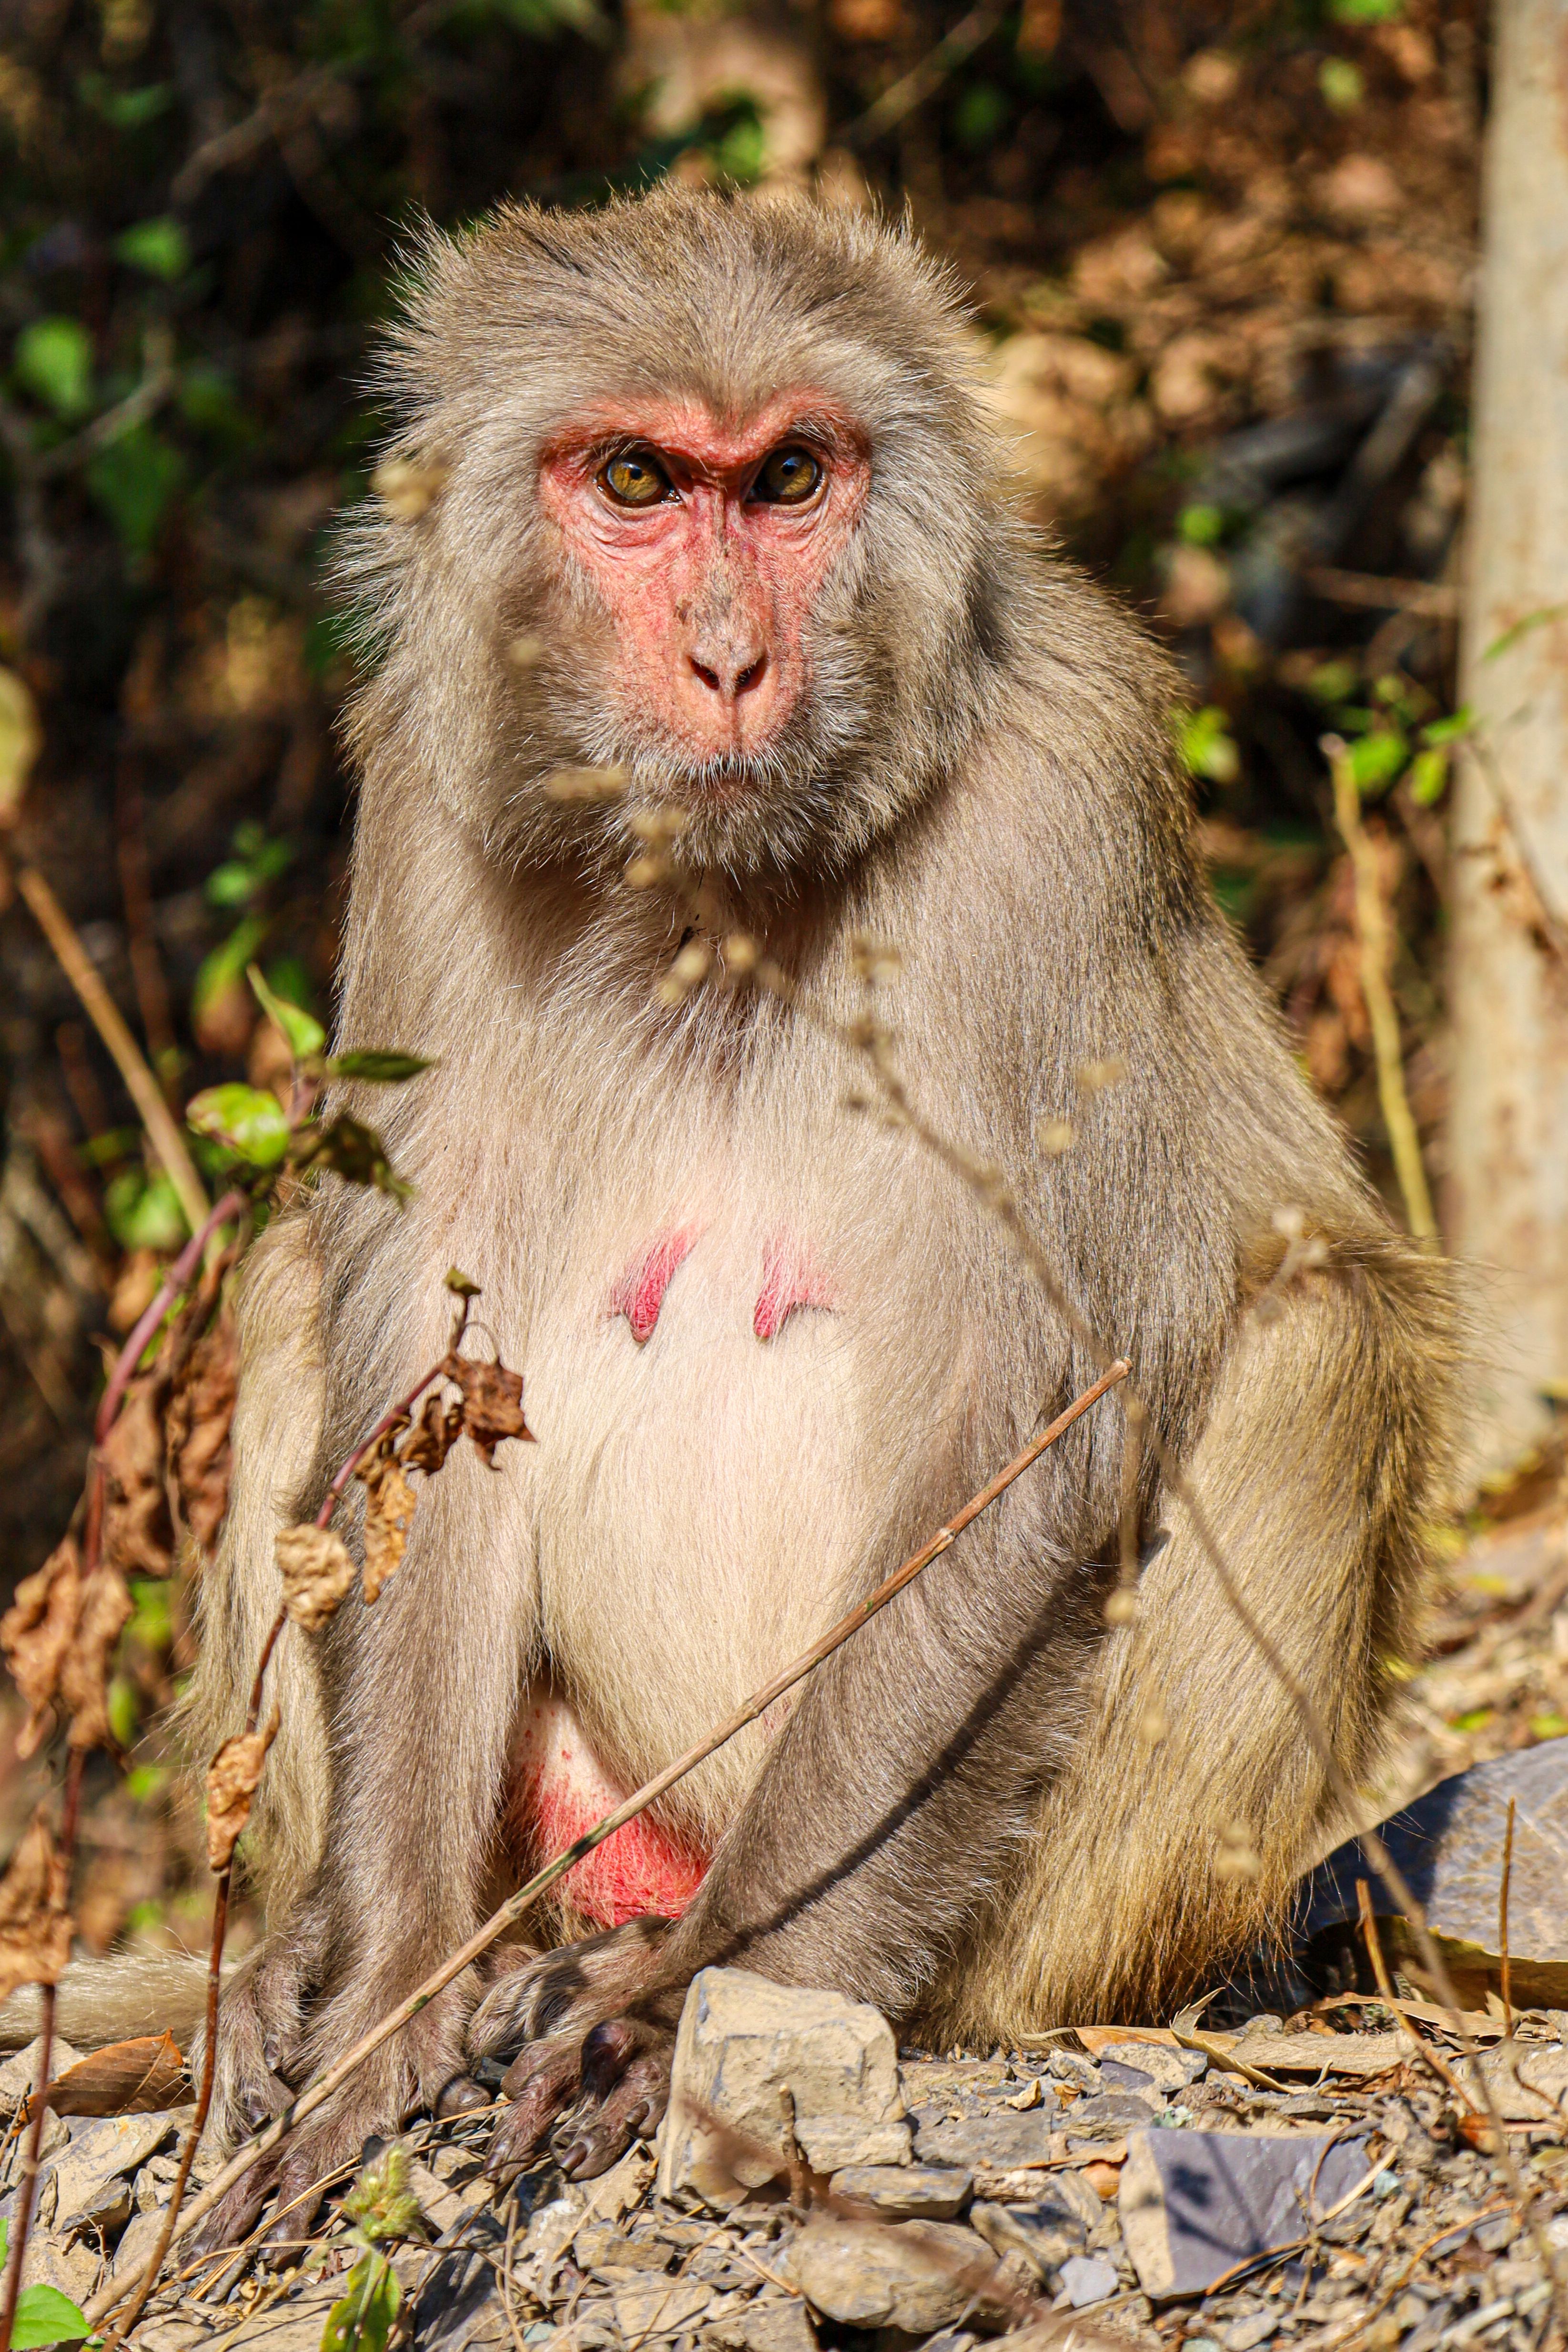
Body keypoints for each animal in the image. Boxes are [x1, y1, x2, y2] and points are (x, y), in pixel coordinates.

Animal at [33, 185, 1452, 2249]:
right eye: (636, 477)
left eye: (789, 478)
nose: (726, 659)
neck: (725, 883)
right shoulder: (427, 820)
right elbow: (424, 1384)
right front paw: (385, 1990)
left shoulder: (1058, 806)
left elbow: (1043, 1411)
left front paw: (706, 1986)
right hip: (581, 1815)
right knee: (297, 1273)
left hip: (1045, 1891)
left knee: (1317, 1338)